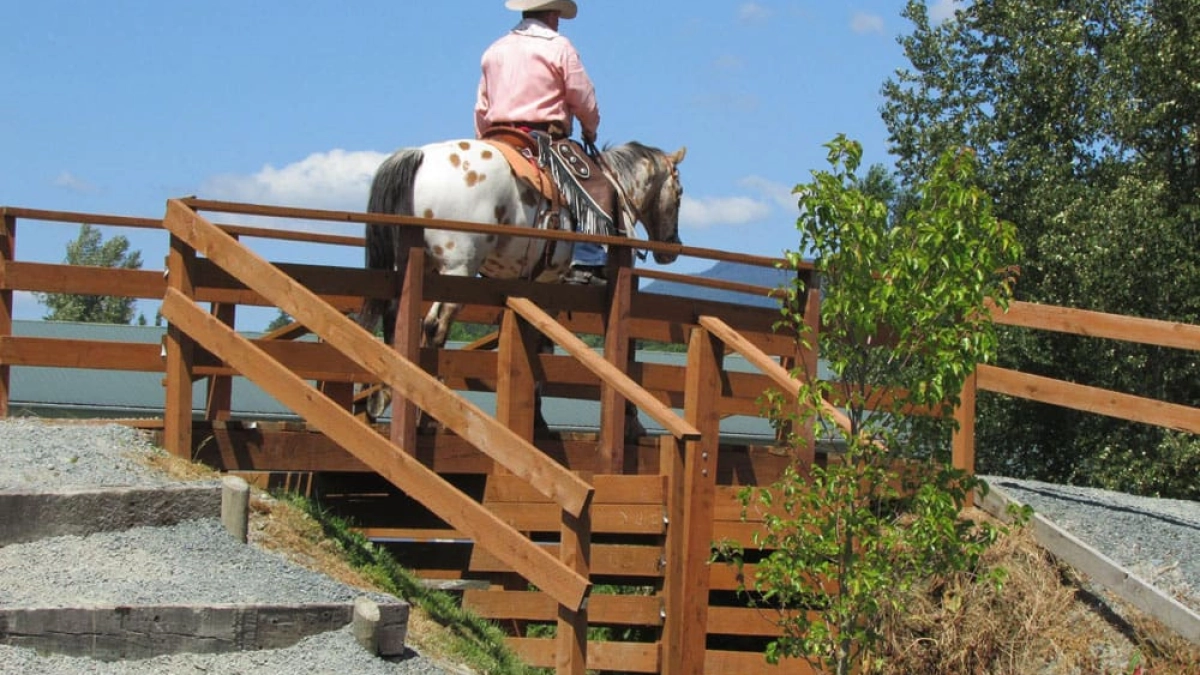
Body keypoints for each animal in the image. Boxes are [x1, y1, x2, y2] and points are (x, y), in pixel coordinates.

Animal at [355, 137, 687, 431]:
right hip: (458, 268)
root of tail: (420, 156)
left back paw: (380, 396)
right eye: (680, 192)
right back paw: (427, 410)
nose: (672, 246)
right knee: (434, 325)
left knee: (393, 315)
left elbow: (536, 346)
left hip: (412, 264)